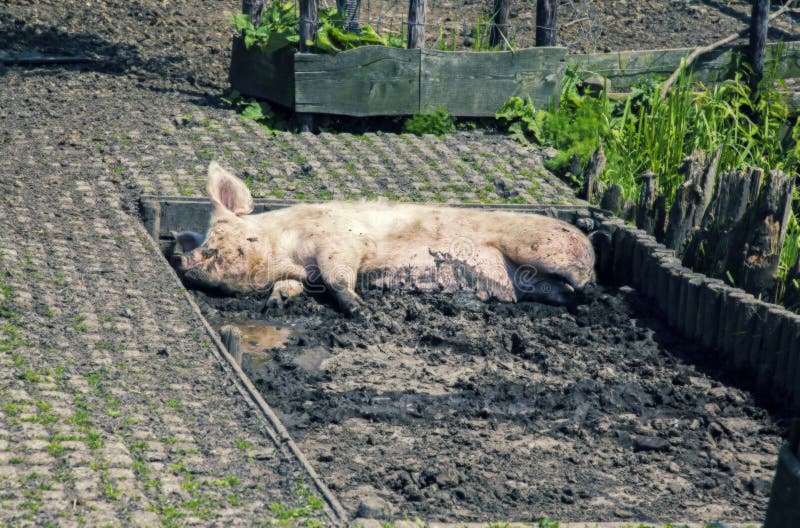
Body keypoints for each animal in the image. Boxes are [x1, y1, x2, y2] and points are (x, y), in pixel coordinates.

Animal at [173, 162, 596, 315]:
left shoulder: (341, 242)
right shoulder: (301, 271)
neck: (286, 253)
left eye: (217, 238)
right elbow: (293, 286)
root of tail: (587, 241)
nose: (180, 259)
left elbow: (338, 277)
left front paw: (360, 310)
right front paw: (275, 304)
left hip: (544, 248)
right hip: (536, 281)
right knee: (557, 292)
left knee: (583, 282)